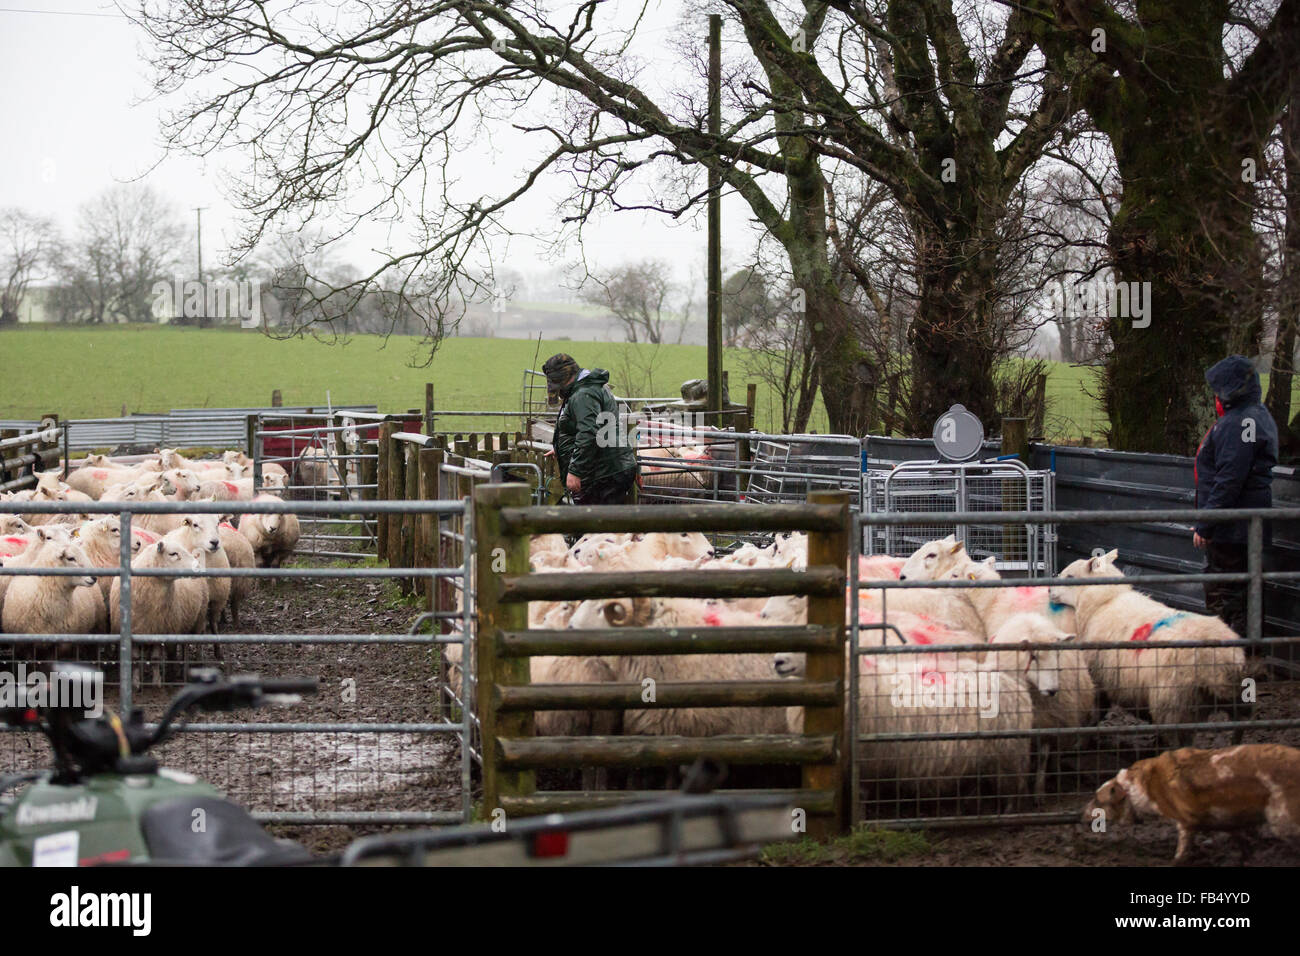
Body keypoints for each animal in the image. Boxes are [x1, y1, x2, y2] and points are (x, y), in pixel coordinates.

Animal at [1050, 549, 1247, 750]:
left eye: (1070, 576)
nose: (1049, 590)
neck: (1105, 602)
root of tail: (1219, 657)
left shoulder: (1097, 676)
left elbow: (1093, 714)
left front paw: (1081, 742)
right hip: (1234, 694)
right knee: (1241, 723)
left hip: (1173, 702)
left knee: (1178, 739)